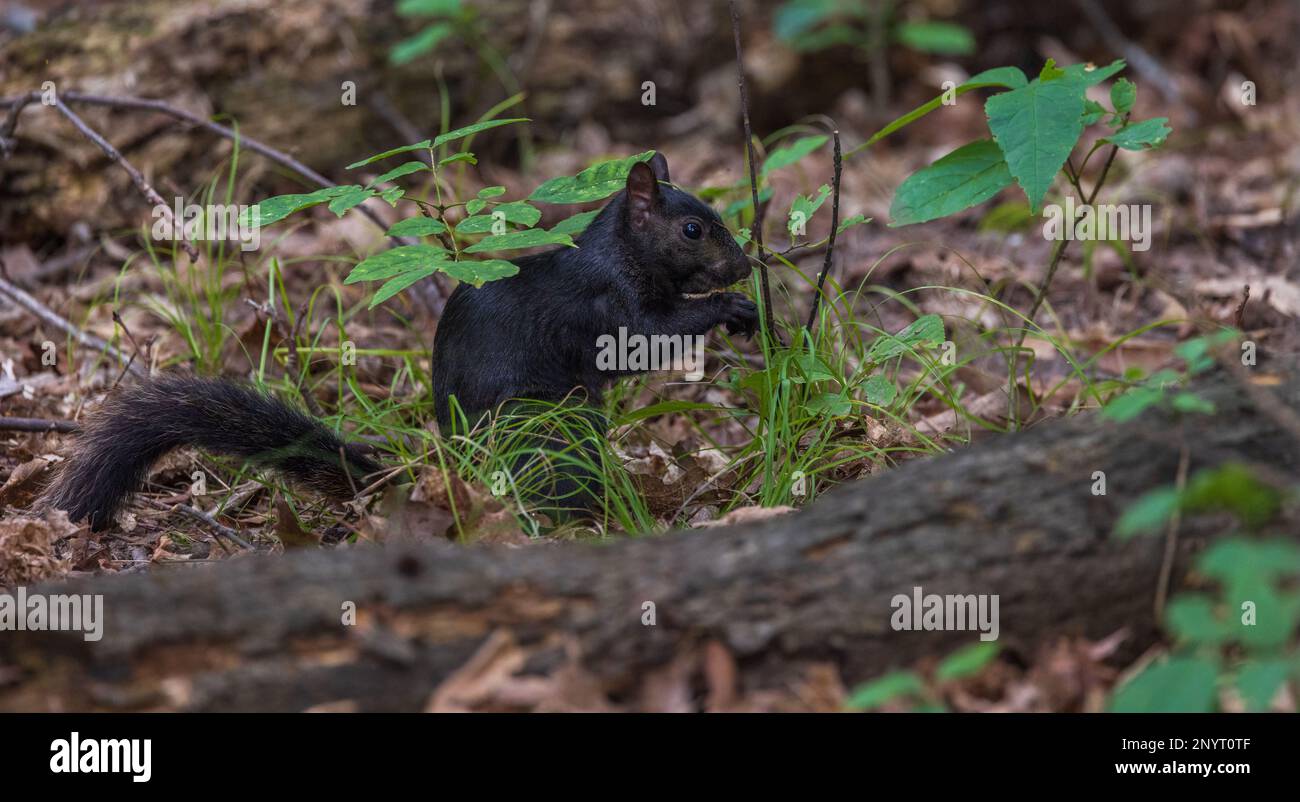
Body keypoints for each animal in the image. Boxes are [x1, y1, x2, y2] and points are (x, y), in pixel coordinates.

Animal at [40, 152, 757, 530]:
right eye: (693, 230)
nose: (746, 264)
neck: (621, 254)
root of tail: (462, 473)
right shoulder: (610, 305)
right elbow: (653, 337)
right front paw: (731, 308)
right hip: (548, 430)